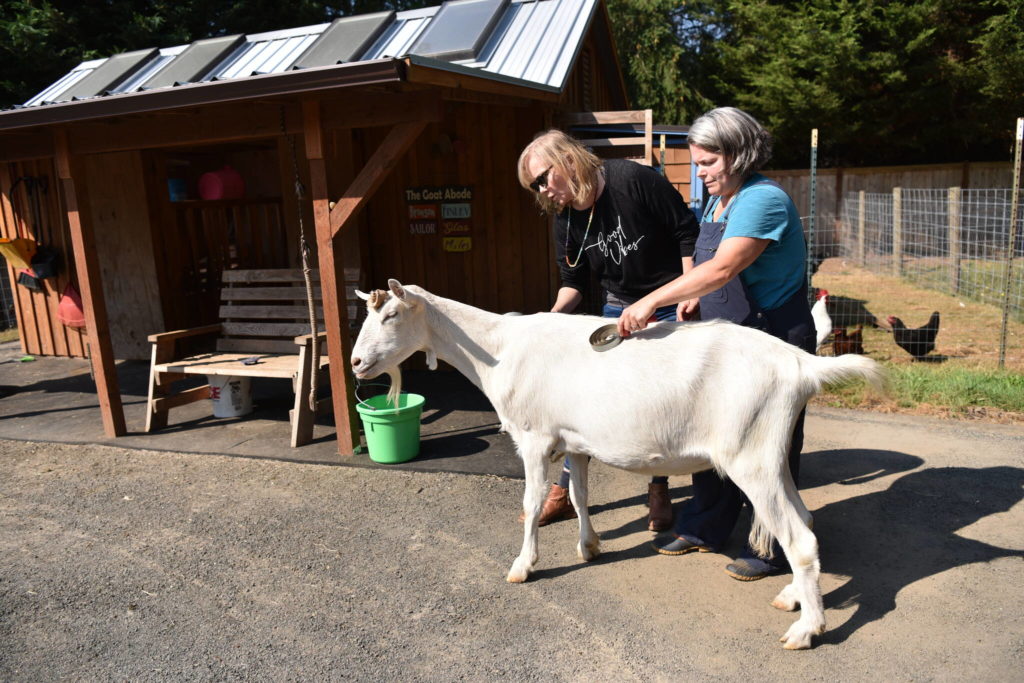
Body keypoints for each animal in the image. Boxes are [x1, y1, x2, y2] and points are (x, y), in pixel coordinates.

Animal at [350, 280, 885, 650]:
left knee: (798, 538)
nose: (355, 363)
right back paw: (793, 597)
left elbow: (530, 503)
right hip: (772, 455)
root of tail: (801, 365)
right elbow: (580, 494)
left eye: (392, 314)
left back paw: (806, 629)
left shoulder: (534, 438)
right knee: (807, 520)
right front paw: (589, 547)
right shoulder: (575, 441)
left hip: (750, 457)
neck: (499, 350)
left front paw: (523, 565)